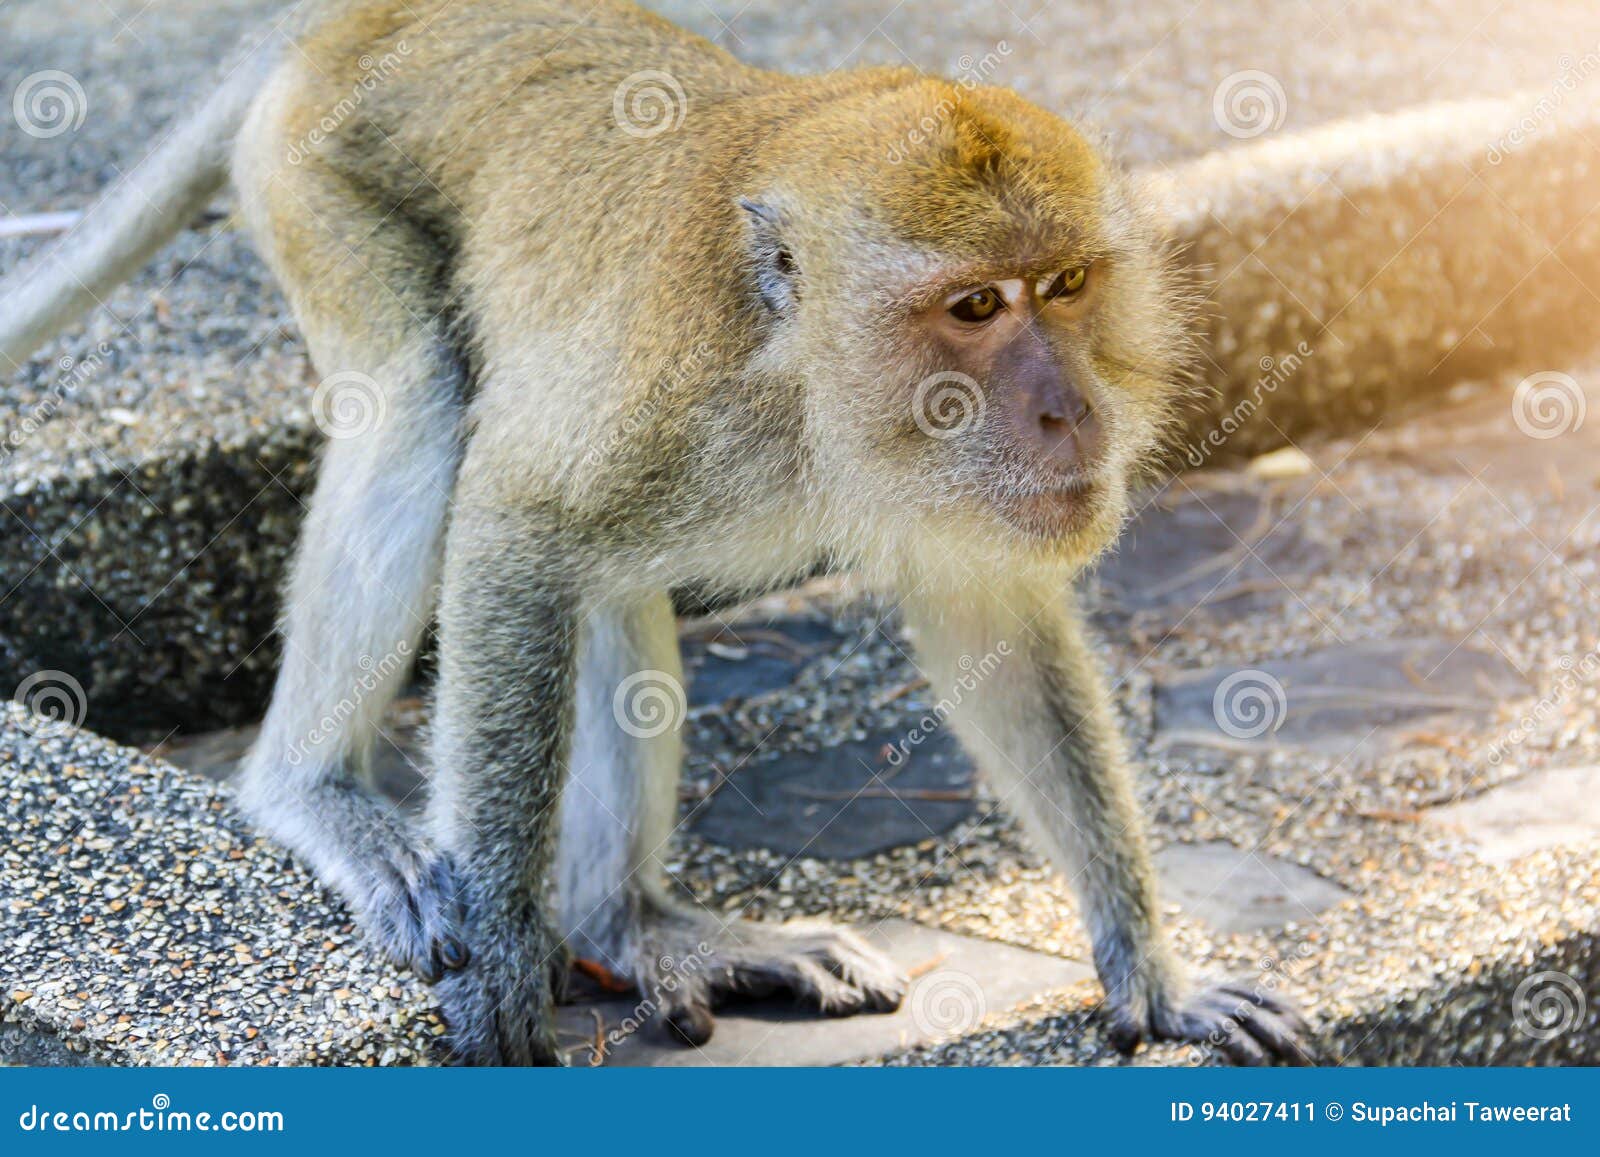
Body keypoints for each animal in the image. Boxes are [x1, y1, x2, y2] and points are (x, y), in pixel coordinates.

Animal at [0, 0, 1311, 1066]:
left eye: (1070, 283)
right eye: (977, 305)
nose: (1068, 409)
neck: (805, 385)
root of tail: (355, 17)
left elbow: (986, 612)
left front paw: (1153, 970)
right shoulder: (671, 401)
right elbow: (511, 518)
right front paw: (502, 954)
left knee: (602, 579)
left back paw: (626, 924)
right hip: (315, 175)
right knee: (422, 405)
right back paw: (315, 794)